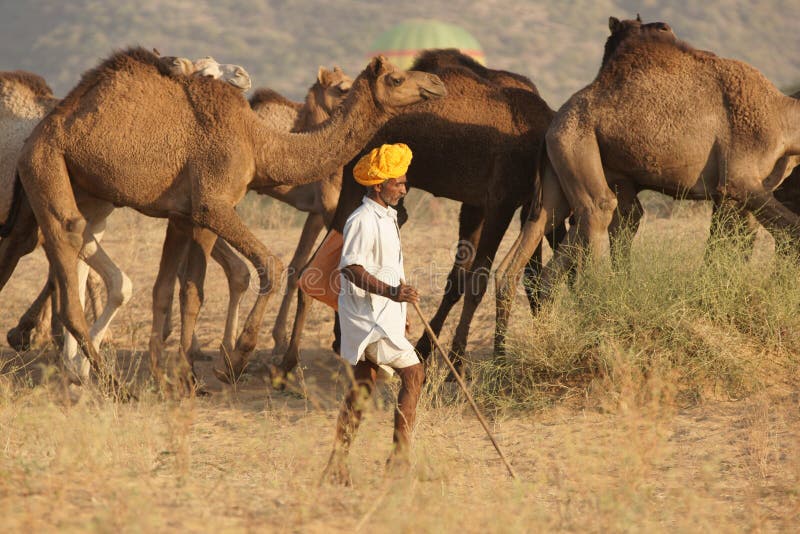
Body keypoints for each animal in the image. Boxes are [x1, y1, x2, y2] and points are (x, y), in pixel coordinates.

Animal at [0, 47, 445, 394]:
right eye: (396, 77)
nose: (436, 83)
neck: (259, 141)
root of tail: (42, 126)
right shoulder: (213, 204)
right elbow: (270, 265)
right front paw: (235, 361)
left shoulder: (186, 214)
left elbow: (180, 291)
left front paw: (179, 376)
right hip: (45, 165)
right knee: (59, 241)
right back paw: (106, 380)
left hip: (85, 190)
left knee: (69, 246)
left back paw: (82, 369)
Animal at [270, 49, 564, 383]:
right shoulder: (501, 200)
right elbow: (478, 279)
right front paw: (460, 365)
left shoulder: (510, 203)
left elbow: (487, 277)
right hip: (357, 181)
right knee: (322, 261)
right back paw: (298, 358)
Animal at [494, 16, 800, 353]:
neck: (782, 118)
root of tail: (553, 124)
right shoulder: (738, 179)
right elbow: (791, 232)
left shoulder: (747, 190)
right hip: (576, 145)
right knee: (598, 214)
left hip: (558, 174)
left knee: (530, 256)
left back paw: (509, 355)